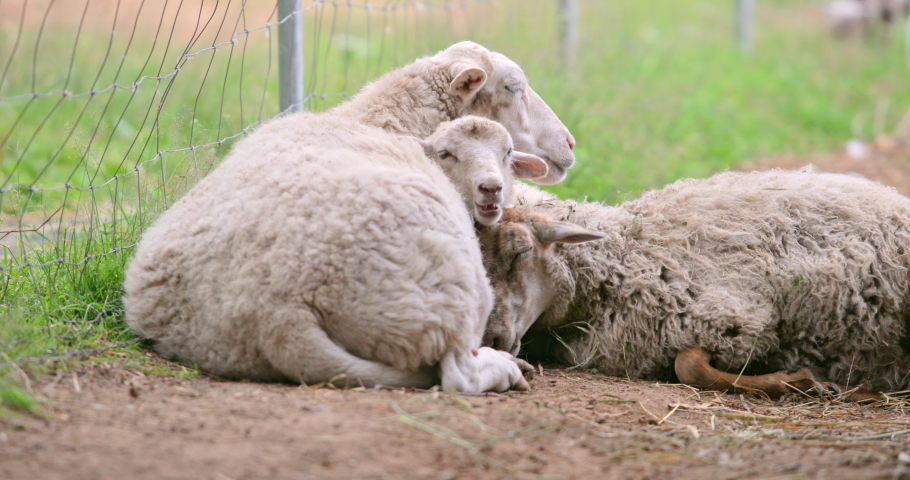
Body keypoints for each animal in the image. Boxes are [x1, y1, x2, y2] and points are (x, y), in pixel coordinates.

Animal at [477, 167, 910, 399]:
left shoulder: (737, 315)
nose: (490, 339)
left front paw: (798, 381)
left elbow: (688, 366)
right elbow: (689, 365)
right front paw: (800, 380)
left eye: (520, 252)